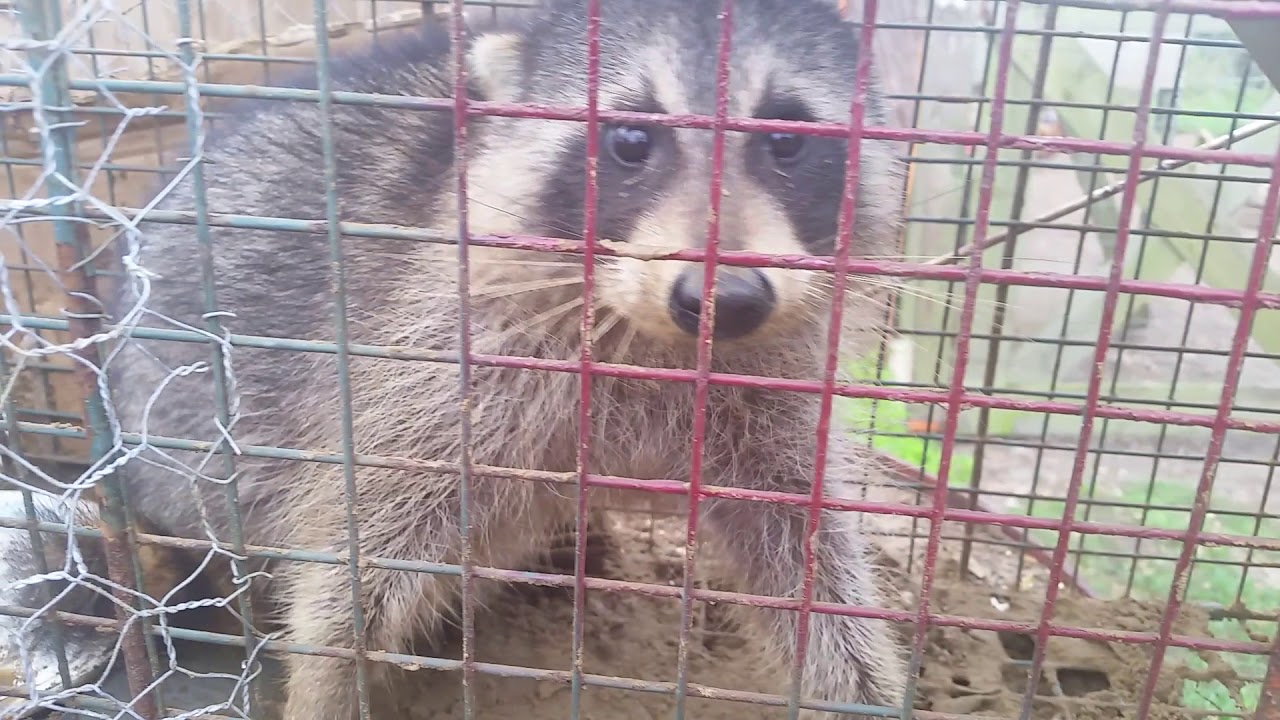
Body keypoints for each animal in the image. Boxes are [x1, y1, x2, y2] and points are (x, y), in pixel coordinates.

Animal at [106, 0, 910, 717]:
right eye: (629, 140)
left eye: (786, 140)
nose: (729, 298)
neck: (657, 339)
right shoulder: (444, 357)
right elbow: (364, 547)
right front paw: (328, 682)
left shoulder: (768, 379)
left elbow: (805, 546)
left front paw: (860, 688)